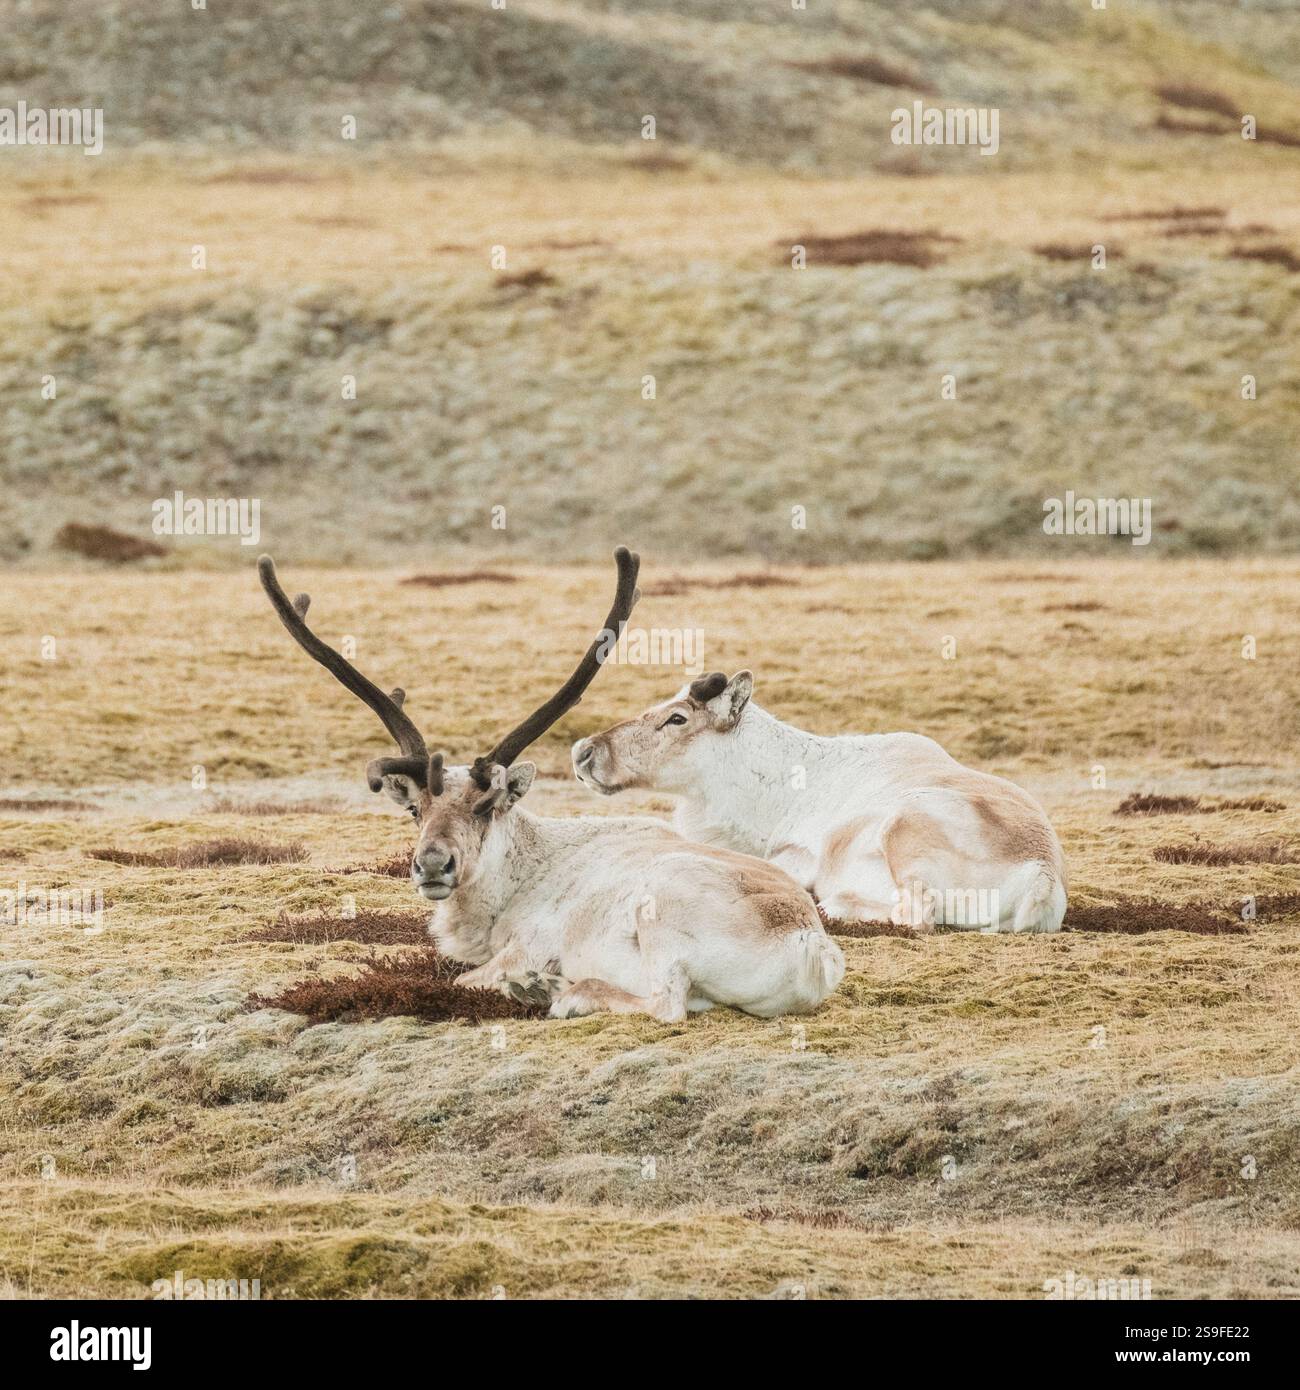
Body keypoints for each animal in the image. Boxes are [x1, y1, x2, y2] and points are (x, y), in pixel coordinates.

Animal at [257, 553, 845, 1021]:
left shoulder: (525, 944)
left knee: (667, 1003)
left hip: (662, 910)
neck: (515, 881)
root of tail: (810, 950)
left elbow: (463, 977)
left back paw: (557, 992)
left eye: (487, 806)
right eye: (414, 810)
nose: (432, 865)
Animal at [571, 670, 1068, 934]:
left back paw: (834, 904)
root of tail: (1041, 875)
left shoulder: (797, 855)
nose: (584, 752)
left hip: (901, 828)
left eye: (677, 718)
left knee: (916, 915)